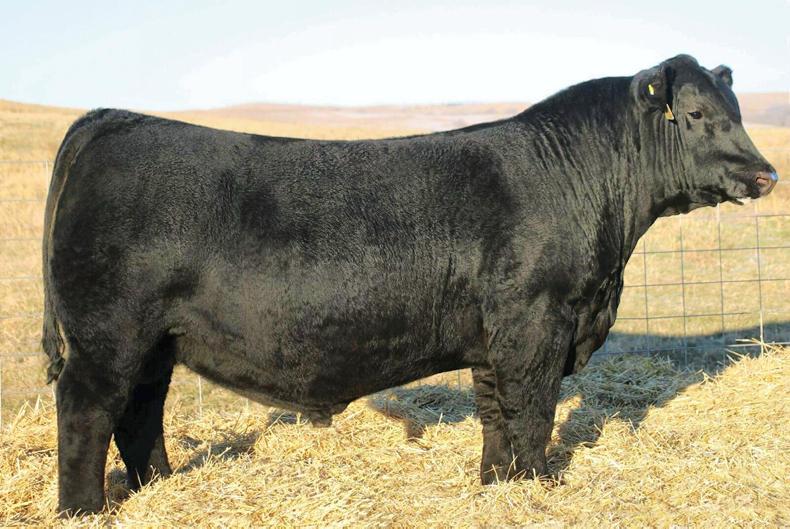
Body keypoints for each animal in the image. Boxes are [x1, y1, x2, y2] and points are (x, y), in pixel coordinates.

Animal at [42, 54, 778, 515]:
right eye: (697, 113)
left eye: (735, 108)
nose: (766, 173)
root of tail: (116, 118)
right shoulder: (537, 322)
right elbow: (533, 411)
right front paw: (538, 484)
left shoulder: (492, 335)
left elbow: (496, 414)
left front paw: (497, 483)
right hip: (108, 335)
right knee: (87, 410)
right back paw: (85, 509)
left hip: (155, 342)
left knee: (140, 412)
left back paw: (159, 487)